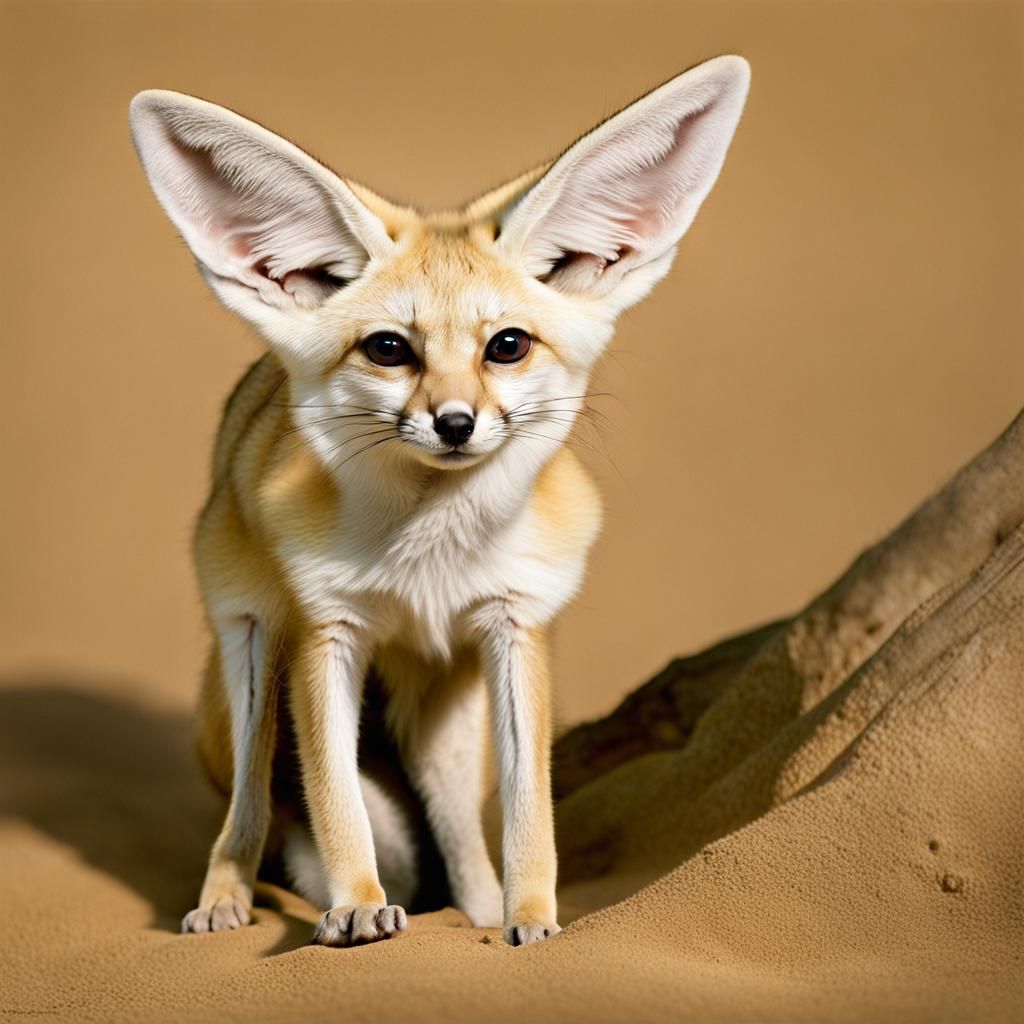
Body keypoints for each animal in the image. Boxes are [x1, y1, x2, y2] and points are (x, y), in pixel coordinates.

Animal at [128, 54, 749, 948]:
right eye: (390, 350)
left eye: (507, 347)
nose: (456, 422)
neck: (432, 549)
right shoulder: (324, 632)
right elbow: (336, 804)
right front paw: (355, 904)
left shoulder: (514, 622)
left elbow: (529, 815)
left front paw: (532, 920)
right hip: (250, 657)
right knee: (247, 818)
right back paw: (225, 900)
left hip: (443, 736)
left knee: (460, 842)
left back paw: (480, 913)